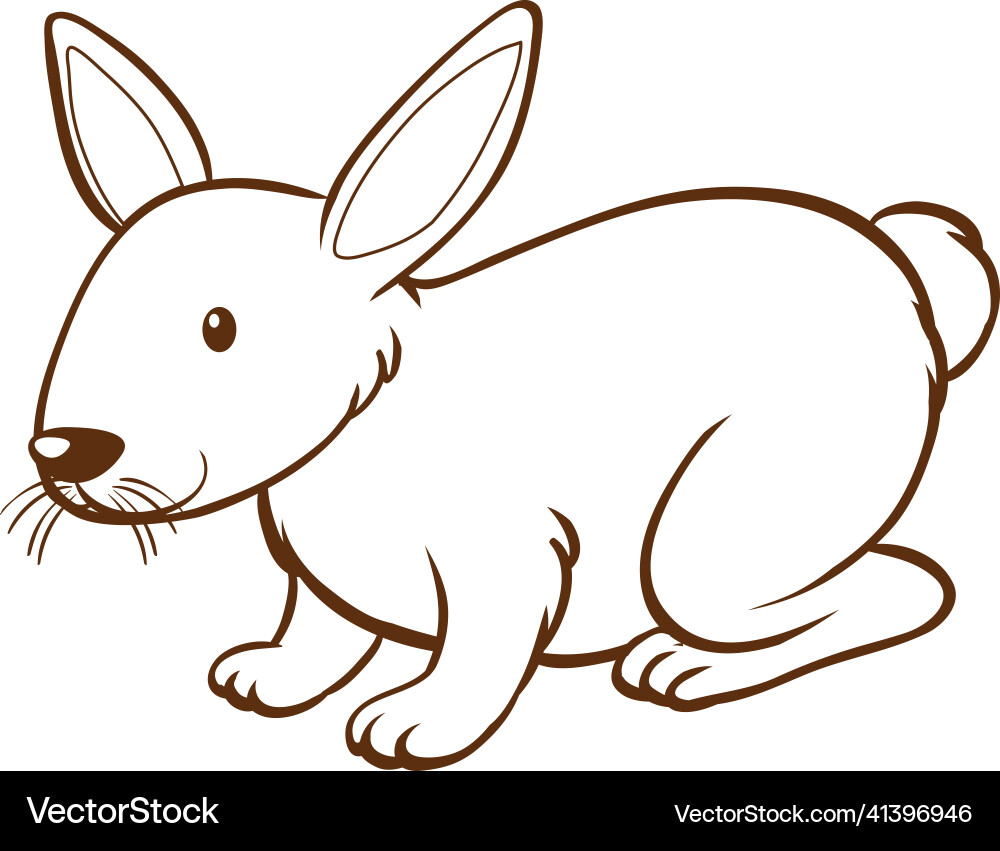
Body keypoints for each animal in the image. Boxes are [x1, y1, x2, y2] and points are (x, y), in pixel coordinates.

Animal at [14, 1, 997, 770]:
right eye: (84, 304)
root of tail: (902, 268)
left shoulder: (507, 560)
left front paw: (412, 725)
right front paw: (265, 676)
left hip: (715, 543)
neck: (360, 431)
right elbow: (321, 629)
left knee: (907, 587)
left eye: (220, 328)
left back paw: (686, 667)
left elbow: (481, 652)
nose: (64, 452)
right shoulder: (317, 581)